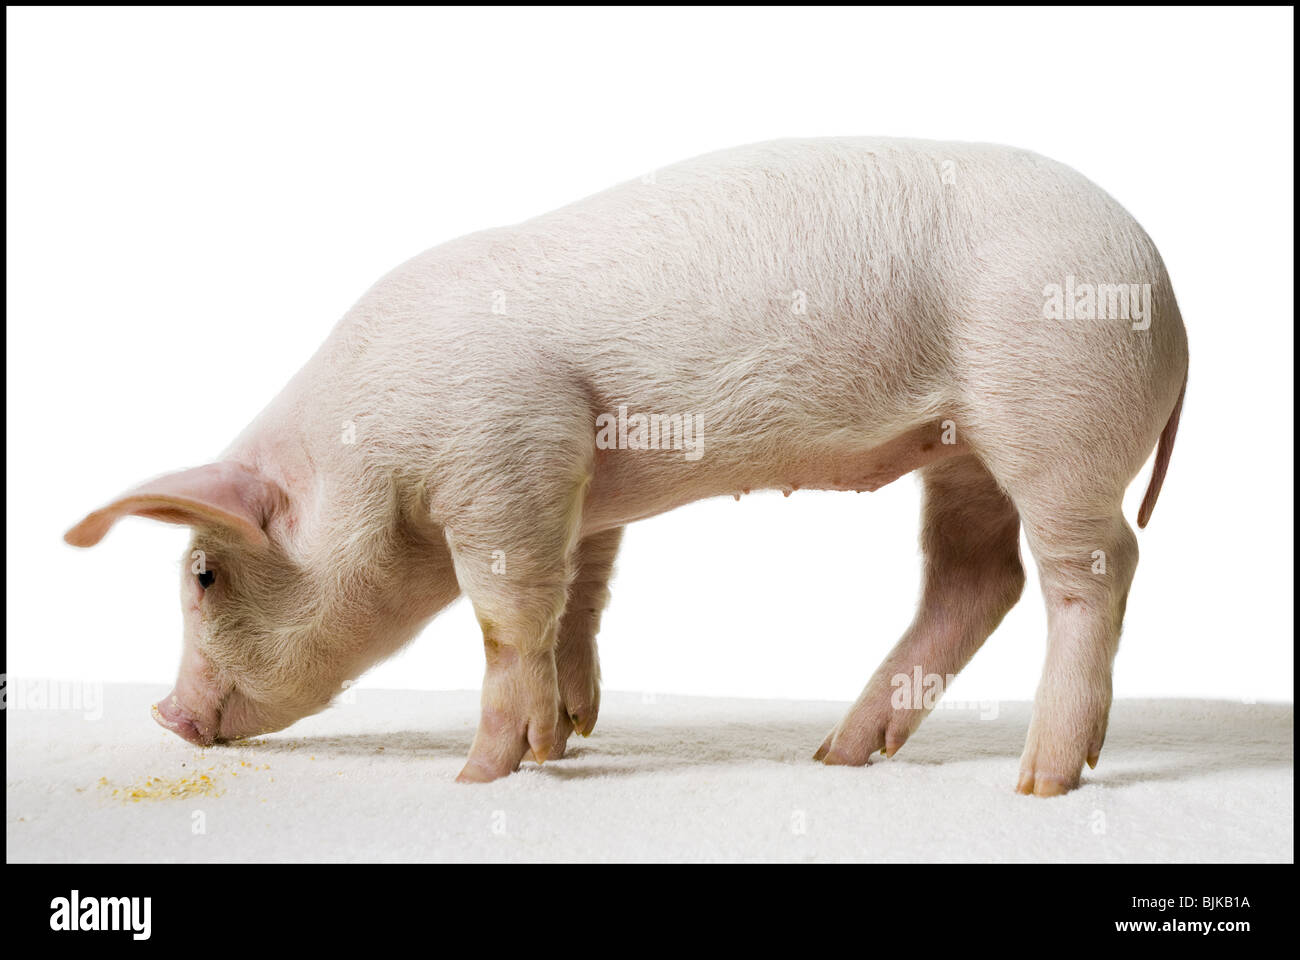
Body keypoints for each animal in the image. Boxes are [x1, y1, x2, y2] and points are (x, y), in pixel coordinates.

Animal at [66, 137, 1187, 795]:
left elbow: (506, 617)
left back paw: (1042, 779)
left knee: (1096, 568)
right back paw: (839, 754)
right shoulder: (574, 481)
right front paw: (564, 738)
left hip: (1054, 418)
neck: (369, 452)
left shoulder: (506, 456)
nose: (167, 717)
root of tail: (1165, 289)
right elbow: (576, 598)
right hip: (964, 448)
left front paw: (480, 776)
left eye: (203, 574)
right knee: (976, 578)